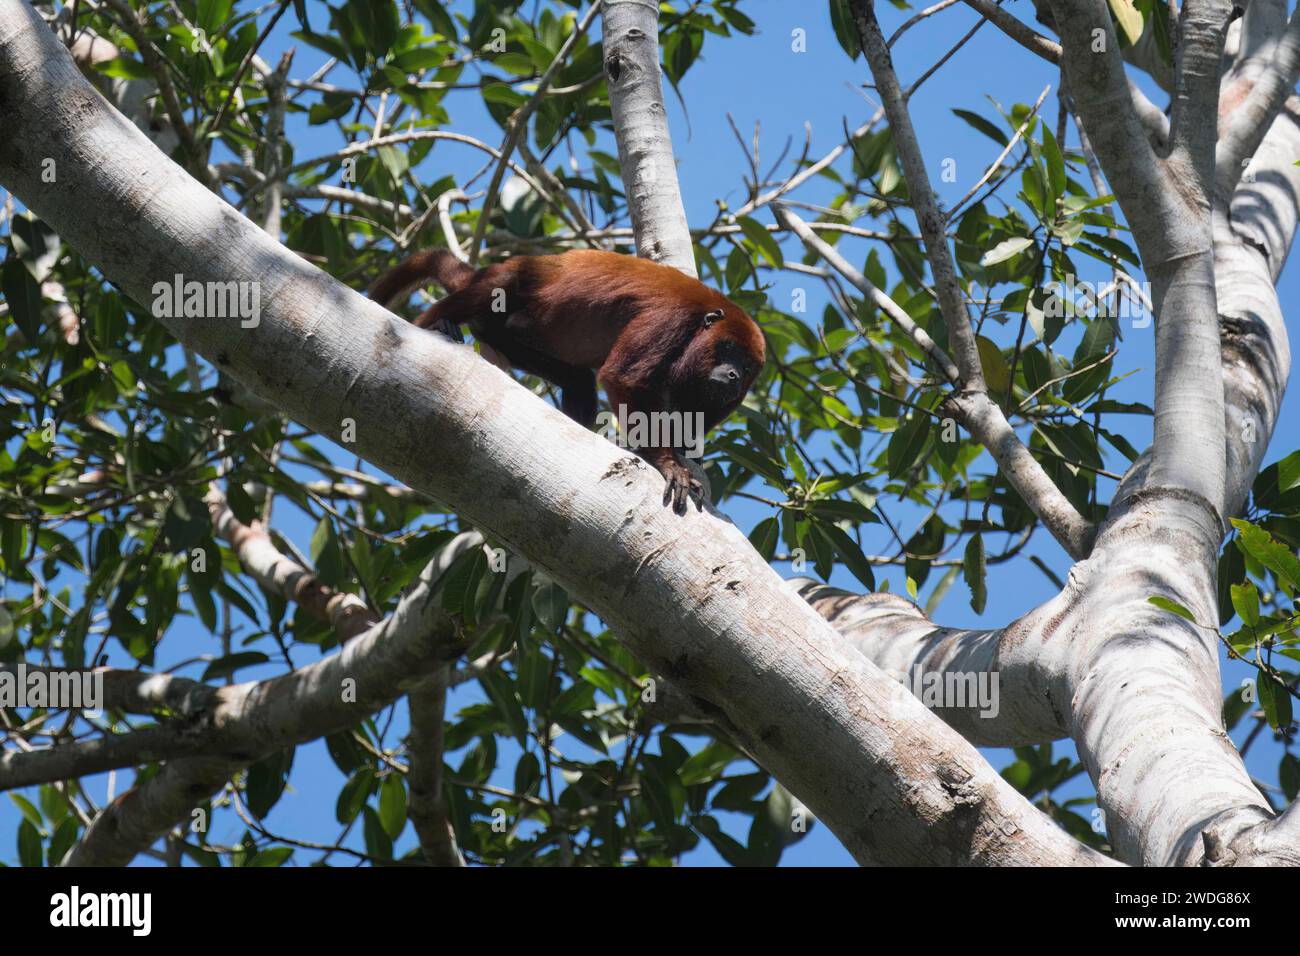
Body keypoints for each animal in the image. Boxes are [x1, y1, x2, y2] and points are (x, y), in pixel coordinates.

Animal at [368, 248, 765, 513]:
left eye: (747, 367)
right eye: (729, 349)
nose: (733, 374)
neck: (703, 322)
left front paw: (679, 451)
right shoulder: (670, 318)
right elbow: (623, 376)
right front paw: (668, 463)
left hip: (511, 339)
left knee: (579, 382)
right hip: (507, 283)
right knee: (496, 287)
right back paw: (435, 323)